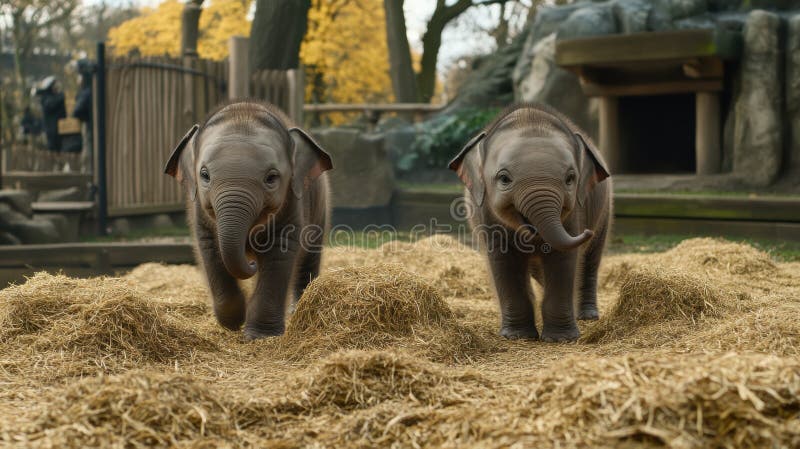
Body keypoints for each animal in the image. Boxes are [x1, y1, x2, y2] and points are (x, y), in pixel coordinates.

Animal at [164, 100, 333, 340]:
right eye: (204, 175)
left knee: (309, 257)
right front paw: (233, 322)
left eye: (271, 178)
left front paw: (260, 336)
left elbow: (279, 254)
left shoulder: (293, 203)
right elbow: (210, 250)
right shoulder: (199, 212)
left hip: (320, 209)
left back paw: (297, 309)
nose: (251, 262)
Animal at [449, 103, 611, 342]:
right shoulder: (486, 213)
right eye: (504, 179)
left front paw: (560, 339)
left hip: (606, 210)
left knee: (590, 261)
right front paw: (517, 337)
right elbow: (503, 260)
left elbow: (563, 259)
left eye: (570, 179)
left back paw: (587, 316)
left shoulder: (575, 213)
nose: (587, 232)